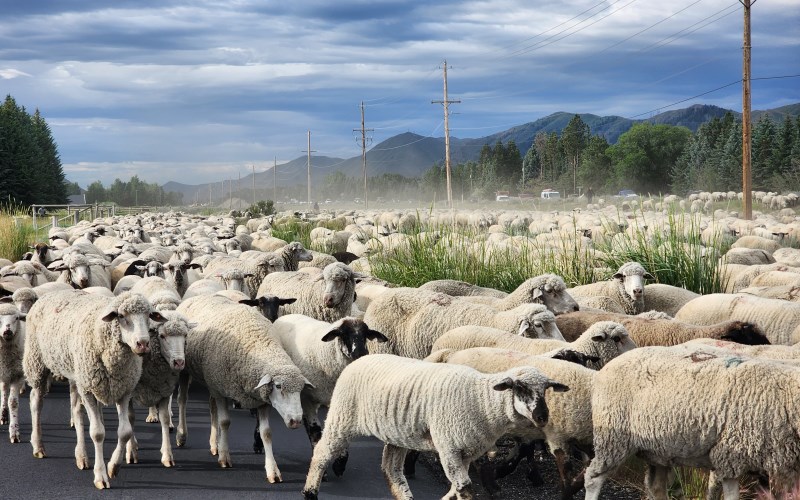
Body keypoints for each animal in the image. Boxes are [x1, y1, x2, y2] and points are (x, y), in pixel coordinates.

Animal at [23, 290, 166, 489]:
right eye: (121, 316)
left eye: (149, 316)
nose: (143, 344)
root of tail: (50, 293)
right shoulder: (89, 390)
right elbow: (97, 433)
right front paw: (101, 476)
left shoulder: (123, 390)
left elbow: (125, 431)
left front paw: (113, 466)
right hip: (37, 361)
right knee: (36, 402)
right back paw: (38, 446)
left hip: (77, 375)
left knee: (76, 410)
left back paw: (81, 456)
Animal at [175, 294, 307, 483]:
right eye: (279, 386)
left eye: (301, 390)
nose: (296, 421)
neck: (258, 344)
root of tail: (196, 296)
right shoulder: (222, 389)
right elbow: (225, 422)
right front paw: (224, 458)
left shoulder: (261, 398)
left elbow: (266, 433)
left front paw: (272, 470)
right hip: (186, 370)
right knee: (182, 400)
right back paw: (181, 435)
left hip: (211, 381)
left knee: (211, 407)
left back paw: (214, 444)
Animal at [269, 314, 389, 457]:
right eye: (343, 333)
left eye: (366, 334)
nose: (360, 353)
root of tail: (287, 315)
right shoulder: (307, 398)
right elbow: (315, 432)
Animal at [301, 354, 568, 500]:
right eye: (520, 388)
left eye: (547, 389)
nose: (542, 416)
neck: (481, 400)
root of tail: (362, 358)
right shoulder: (448, 446)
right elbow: (464, 487)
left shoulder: (466, 451)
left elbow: (458, 486)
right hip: (343, 416)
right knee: (323, 451)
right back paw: (310, 492)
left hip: (397, 433)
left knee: (391, 469)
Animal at [583, 345, 800, 499]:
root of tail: (604, 369)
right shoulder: (731, 456)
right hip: (613, 437)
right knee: (593, 478)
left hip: (656, 448)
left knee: (656, 486)